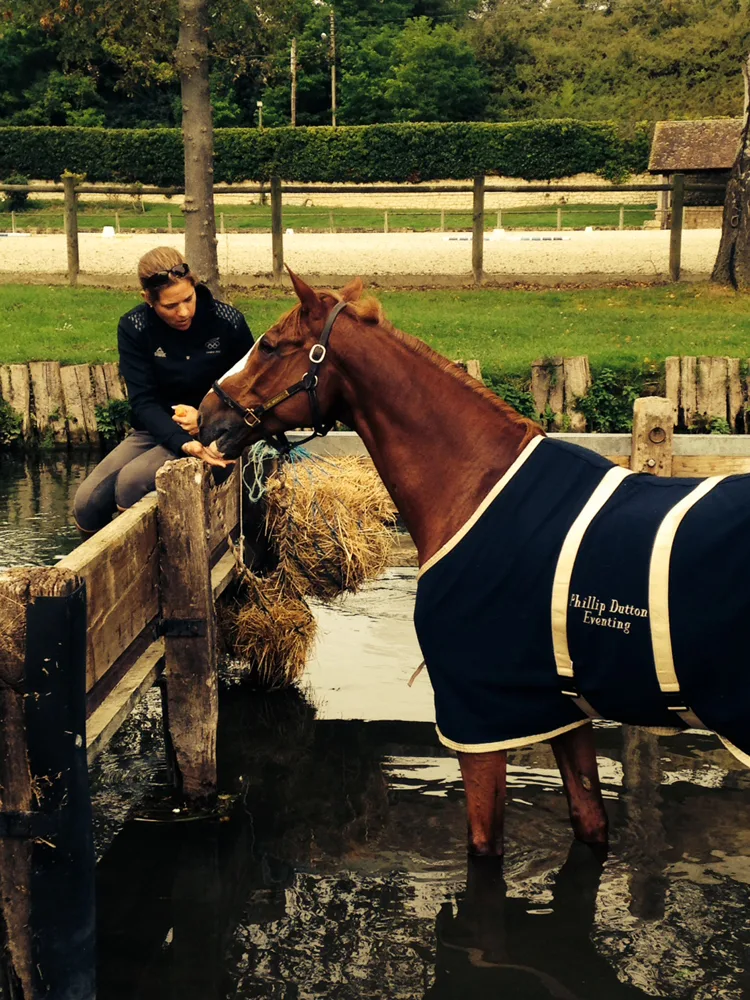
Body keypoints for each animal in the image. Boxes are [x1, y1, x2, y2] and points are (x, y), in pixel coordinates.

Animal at [198, 270, 750, 859]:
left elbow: (484, 846)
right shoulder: (557, 711)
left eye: (270, 346)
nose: (204, 415)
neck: (475, 485)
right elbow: (590, 821)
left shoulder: (480, 718)